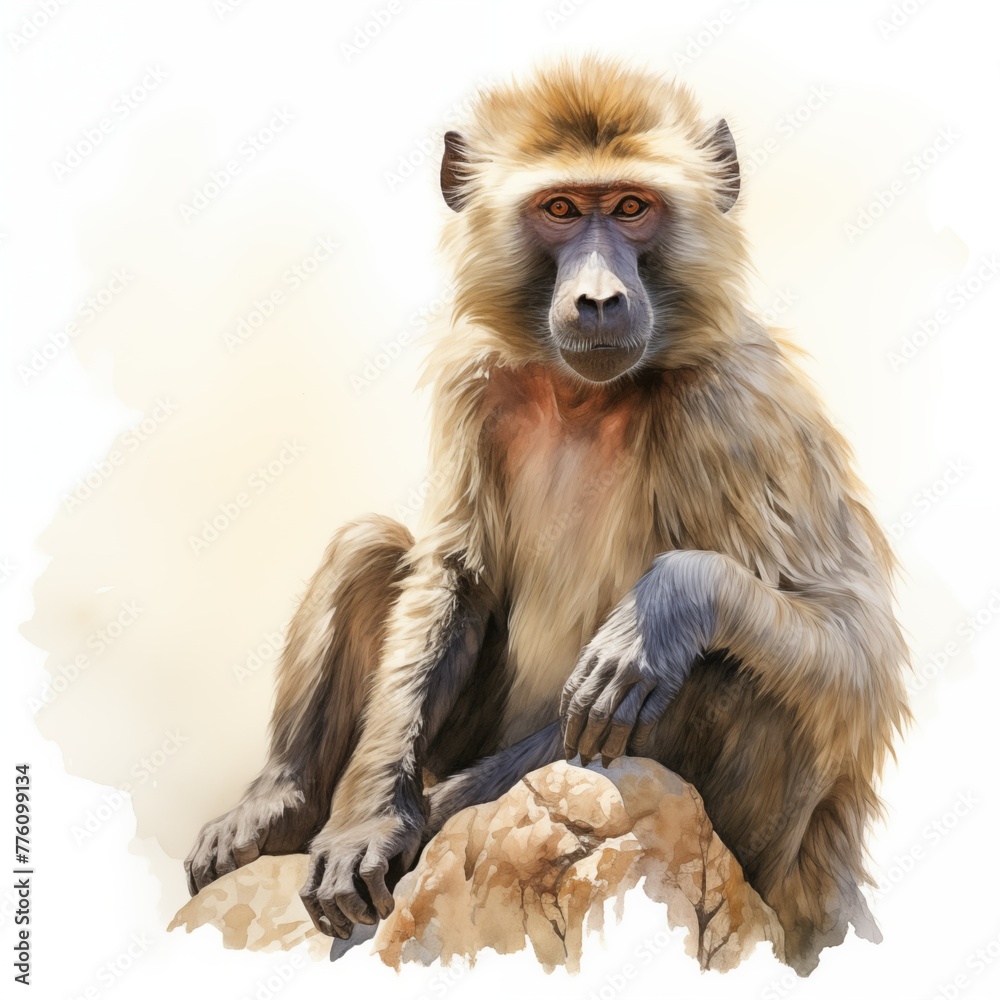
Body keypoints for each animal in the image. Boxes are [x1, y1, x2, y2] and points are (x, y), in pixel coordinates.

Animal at [185, 57, 909, 975]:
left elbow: (856, 645)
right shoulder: (478, 381)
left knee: (737, 667)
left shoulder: (736, 404)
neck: (583, 395)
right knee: (372, 544)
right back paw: (281, 805)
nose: (597, 300)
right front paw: (370, 820)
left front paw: (664, 609)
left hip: (772, 855)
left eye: (631, 207)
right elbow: (456, 573)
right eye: (561, 209)